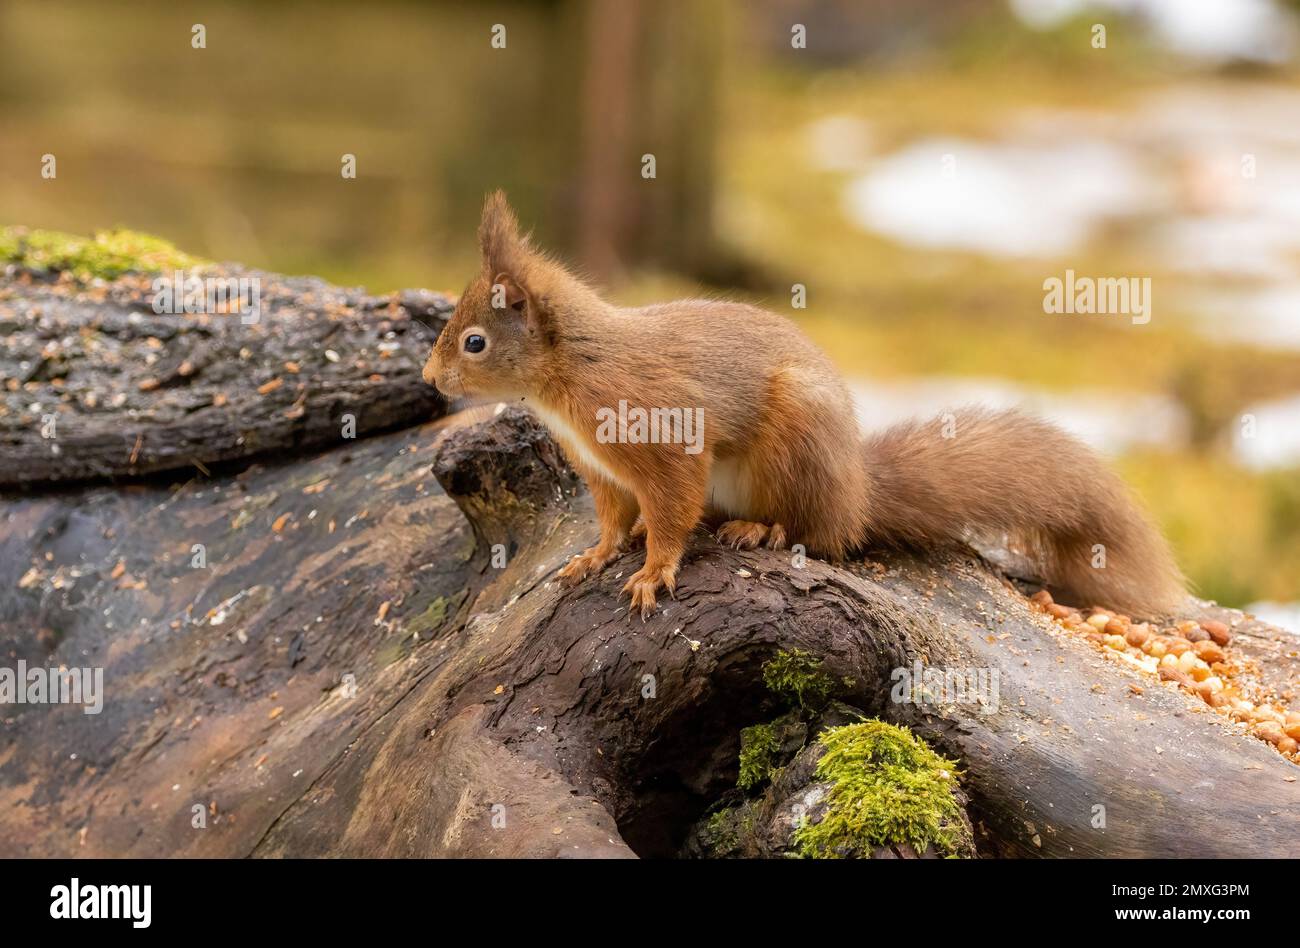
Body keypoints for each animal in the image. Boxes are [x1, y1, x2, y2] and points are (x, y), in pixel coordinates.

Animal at [423, 191, 1186, 619]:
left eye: (475, 341)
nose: (431, 379)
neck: (571, 371)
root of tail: (857, 492)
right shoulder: (603, 469)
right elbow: (612, 519)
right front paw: (598, 554)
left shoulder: (659, 432)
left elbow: (671, 509)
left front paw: (653, 572)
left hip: (798, 444)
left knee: (818, 534)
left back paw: (762, 530)